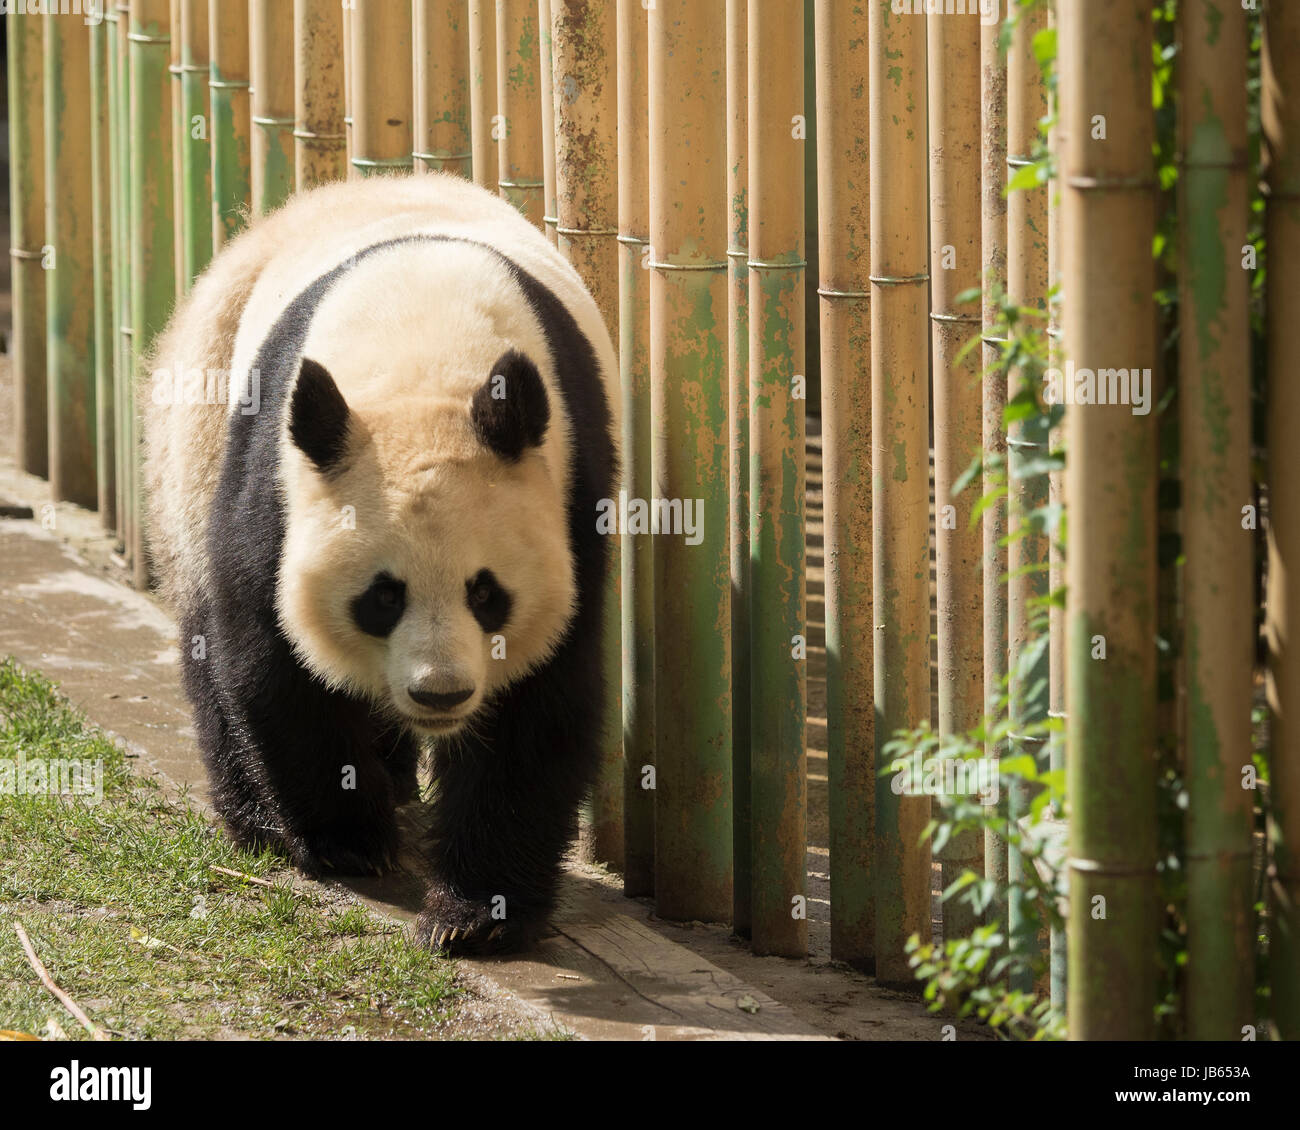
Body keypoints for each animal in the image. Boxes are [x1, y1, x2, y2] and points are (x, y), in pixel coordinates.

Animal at [143, 173, 618, 953]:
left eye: (487, 594)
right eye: (382, 597)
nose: (441, 694)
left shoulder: (572, 490)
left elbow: (540, 699)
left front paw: (475, 914)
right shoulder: (279, 470)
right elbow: (271, 655)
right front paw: (349, 841)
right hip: (203, 402)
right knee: (203, 616)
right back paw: (256, 817)